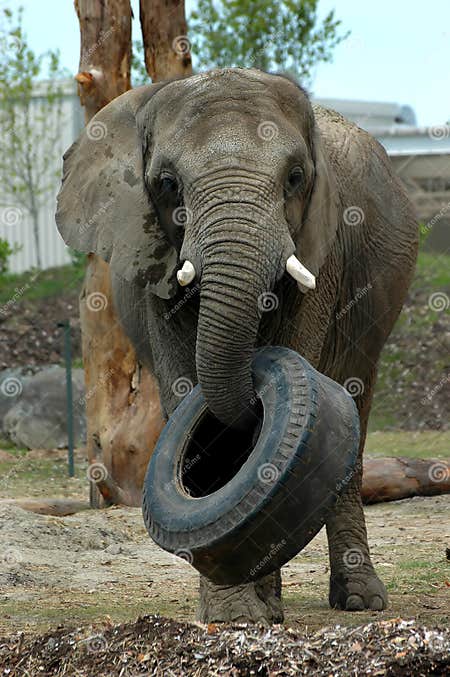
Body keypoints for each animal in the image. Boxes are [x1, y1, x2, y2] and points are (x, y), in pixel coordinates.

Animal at [56, 68, 418, 624]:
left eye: (295, 178)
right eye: (167, 183)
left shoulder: (322, 250)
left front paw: (254, 606)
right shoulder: (155, 258)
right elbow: (187, 389)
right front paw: (237, 614)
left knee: (352, 412)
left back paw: (360, 601)